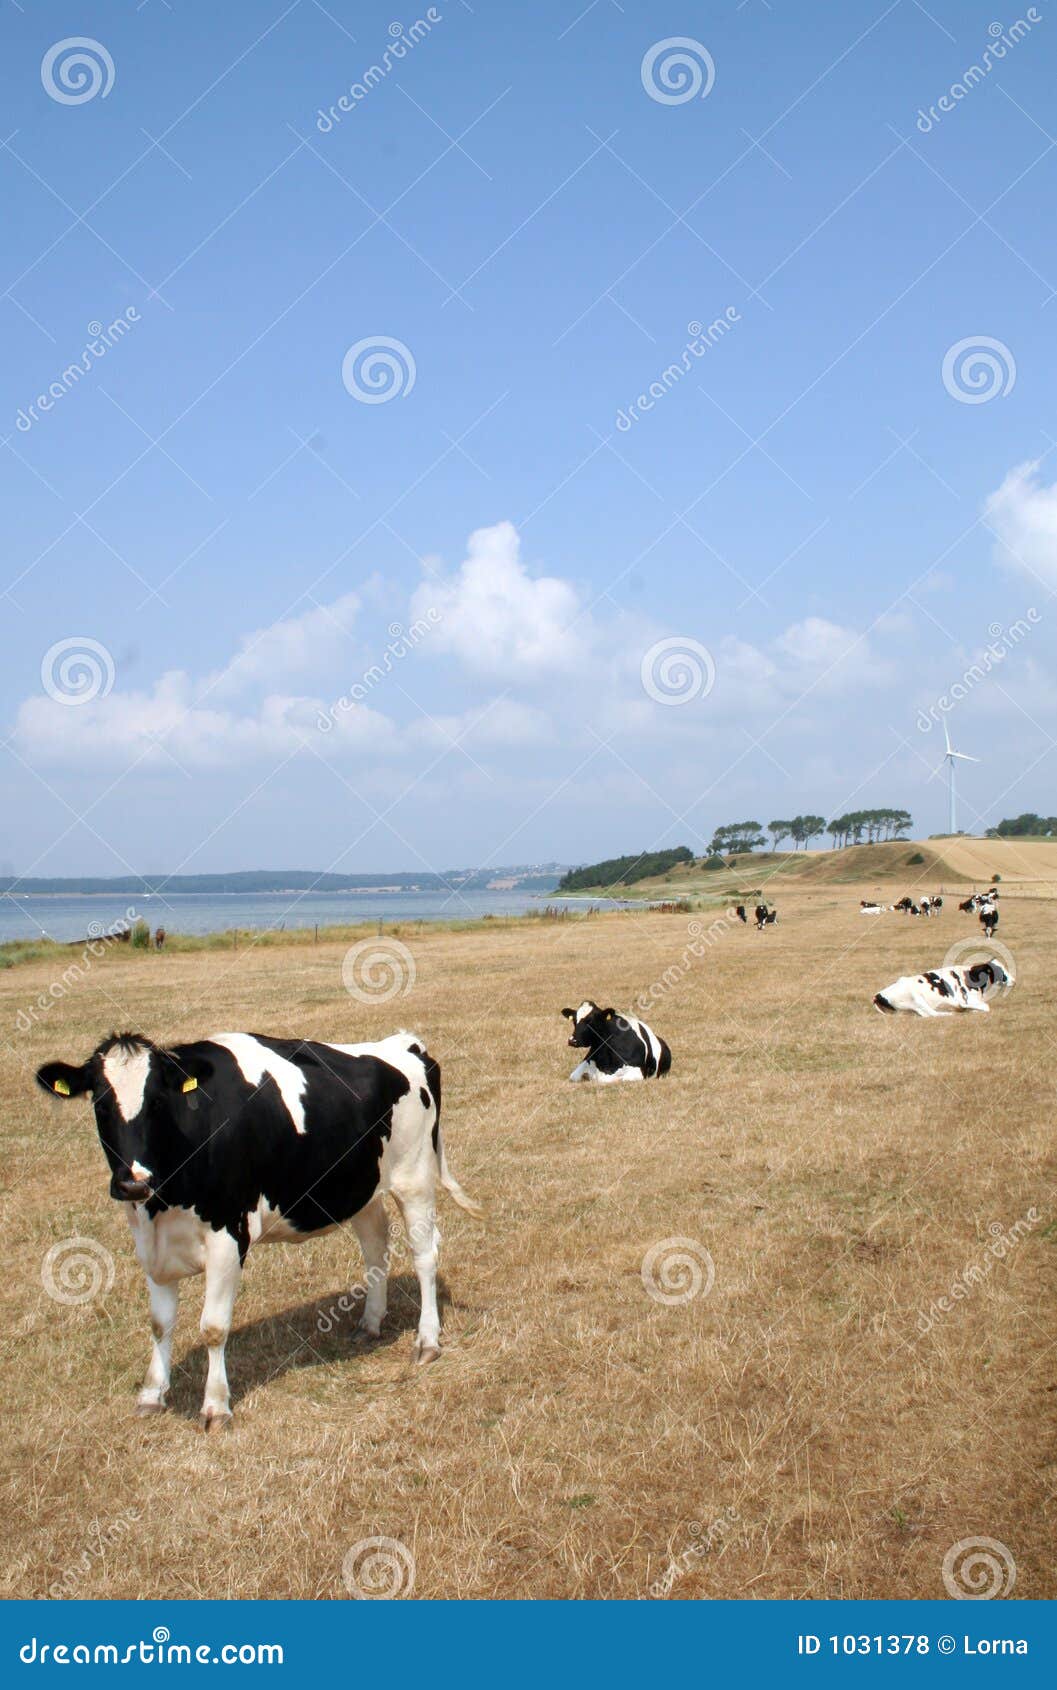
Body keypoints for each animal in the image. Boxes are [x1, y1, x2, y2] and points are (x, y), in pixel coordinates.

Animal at [36, 1029, 479, 1428]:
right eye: (100, 1103)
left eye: (158, 1102)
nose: (133, 1183)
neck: (164, 1202)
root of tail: (404, 1043)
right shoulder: (151, 1243)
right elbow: (160, 1323)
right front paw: (151, 1395)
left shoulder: (228, 1238)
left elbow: (213, 1328)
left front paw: (215, 1406)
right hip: (363, 1188)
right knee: (375, 1249)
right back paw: (369, 1324)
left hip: (414, 1179)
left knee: (424, 1256)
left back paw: (427, 1341)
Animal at [872, 960, 1011, 1017]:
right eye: (999, 970)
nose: (1013, 980)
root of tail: (877, 995)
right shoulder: (965, 1000)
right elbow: (986, 1006)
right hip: (916, 998)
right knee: (930, 1014)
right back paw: (949, 1013)